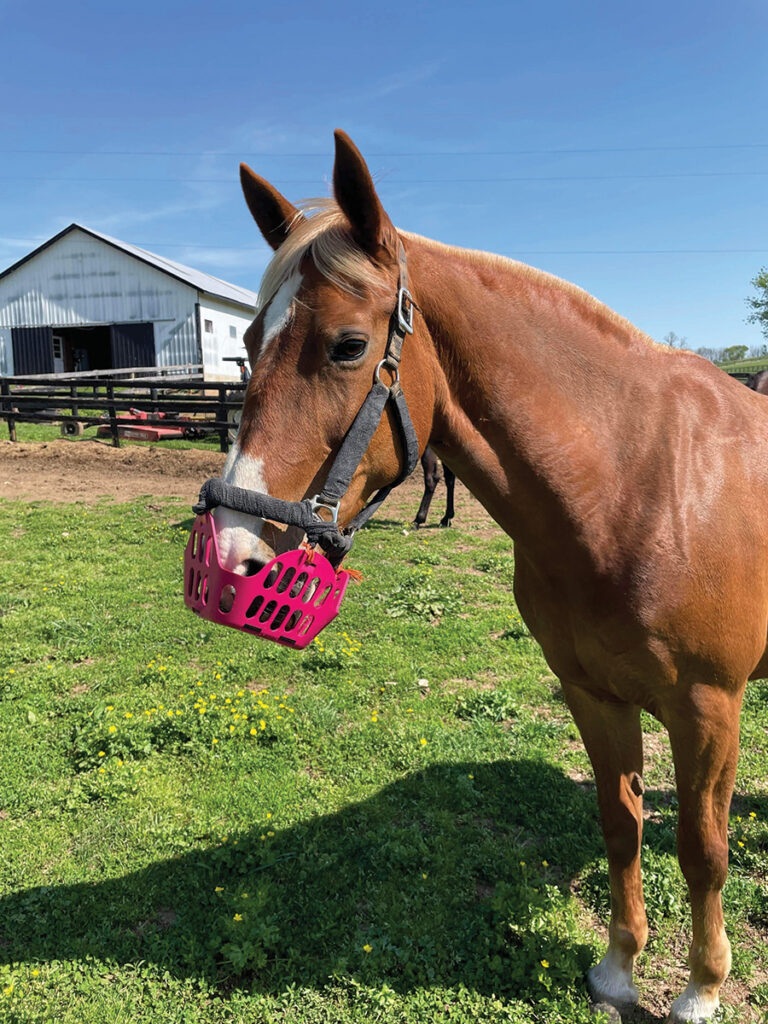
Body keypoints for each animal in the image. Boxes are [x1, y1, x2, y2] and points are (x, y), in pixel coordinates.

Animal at [211, 130, 768, 1023]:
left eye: (347, 345)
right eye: (251, 343)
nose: (229, 547)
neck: (642, 483)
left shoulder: (709, 710)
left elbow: (703, 849)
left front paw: (701, 988)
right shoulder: (592, 694)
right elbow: (620, 823)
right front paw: (620, 968)